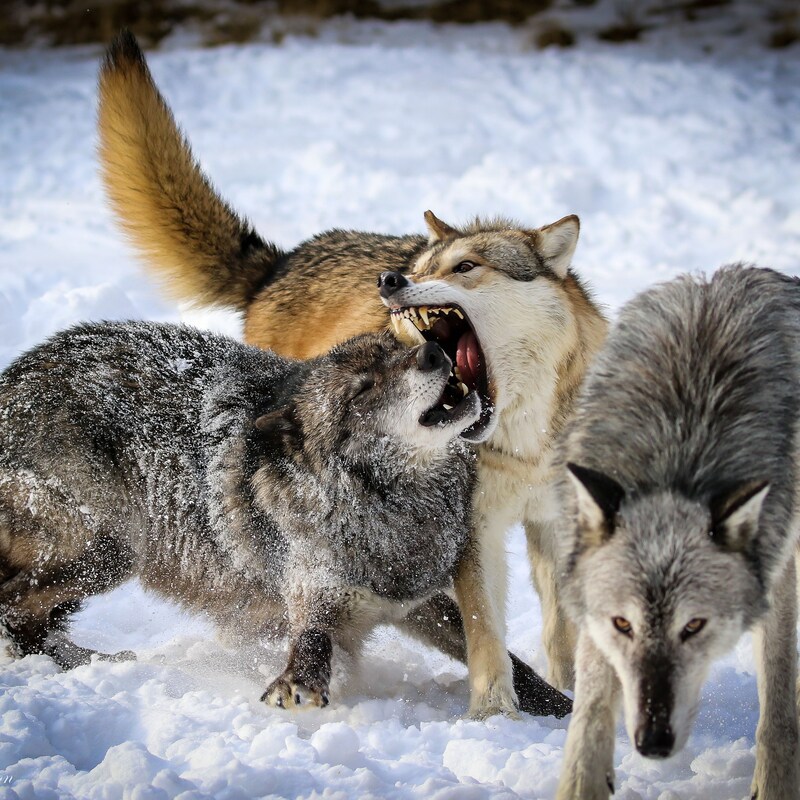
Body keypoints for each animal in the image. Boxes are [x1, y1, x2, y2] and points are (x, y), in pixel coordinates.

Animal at [0, 321, 568, 714]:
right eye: (362, 390)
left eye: (397, 348)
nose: (434, 350)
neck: (390, 505)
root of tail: (13, 380)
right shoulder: (314, 595)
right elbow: (311, 641)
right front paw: (297, 685)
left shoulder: (416, 602)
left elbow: (508, 660)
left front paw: (558, 706)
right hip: (110, 552)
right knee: (15, 611)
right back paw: (87, 664)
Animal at [97, 30, 608, 717]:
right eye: (423, 267)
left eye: (466, 266)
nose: (391, 280)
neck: (520, 439)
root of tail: (280, 264)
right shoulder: (470, 537)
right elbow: (485, 634)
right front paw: (493, 716)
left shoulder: (554, 522)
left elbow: (559, 632)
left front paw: (569, 700)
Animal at [557, 265, 800, 800]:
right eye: (622, 624)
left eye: (693, 626)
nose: (652, 742)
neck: (677, 451)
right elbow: (589, 711)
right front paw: (584, 782)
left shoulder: (777, 570)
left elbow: (777, 701)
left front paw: (774, 784)